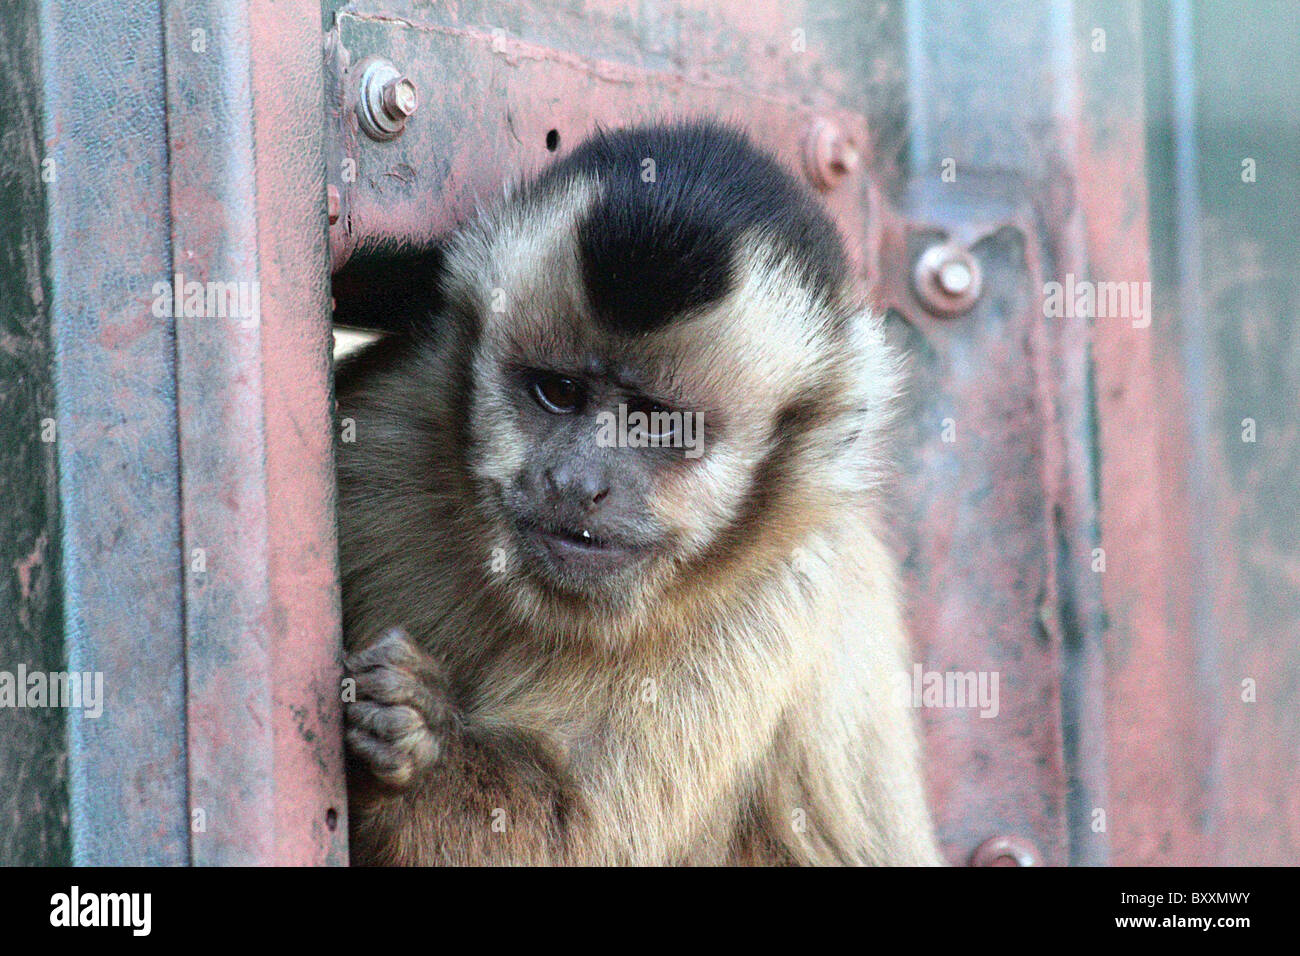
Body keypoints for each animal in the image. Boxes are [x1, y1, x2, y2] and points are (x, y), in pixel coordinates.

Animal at [334, 120, 941, 865]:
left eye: (657, 422)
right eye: (558, 391)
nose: (576, 483)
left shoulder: (772, 603)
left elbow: (573, 834)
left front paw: (419, 741)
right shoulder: (389, 428)